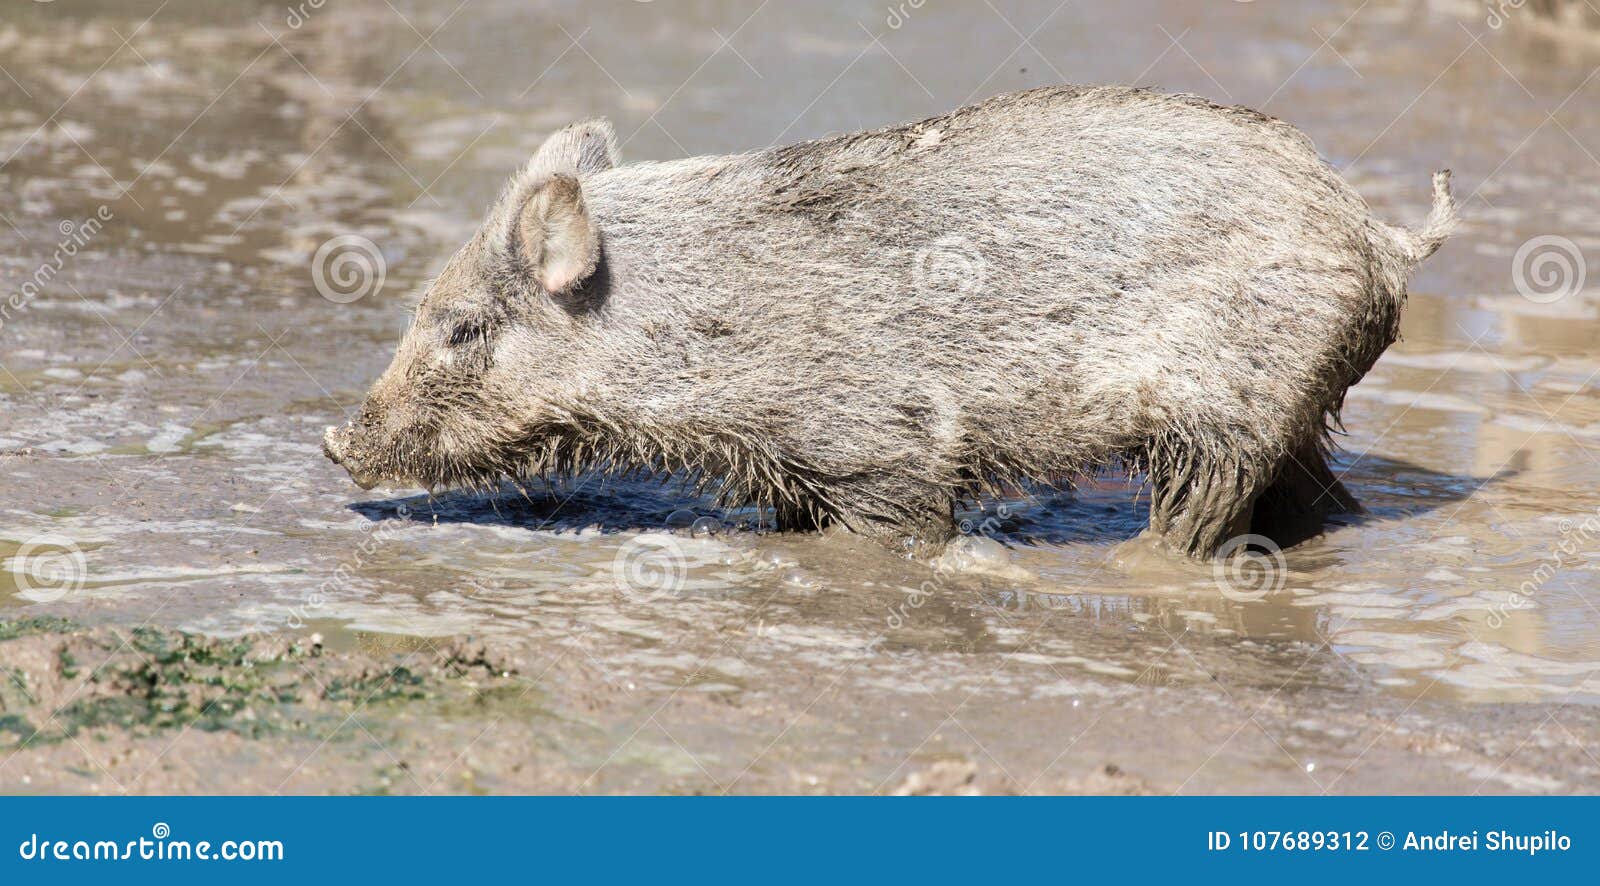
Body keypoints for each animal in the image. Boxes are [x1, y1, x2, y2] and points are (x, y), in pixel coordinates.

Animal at [323, 85, 1456, 559]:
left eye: (463, 329)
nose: (335, 443)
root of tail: (1380, 235)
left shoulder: (882, 453)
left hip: (1227, 417)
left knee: (1206, 515)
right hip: (1294, 413)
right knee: (1320, 504)